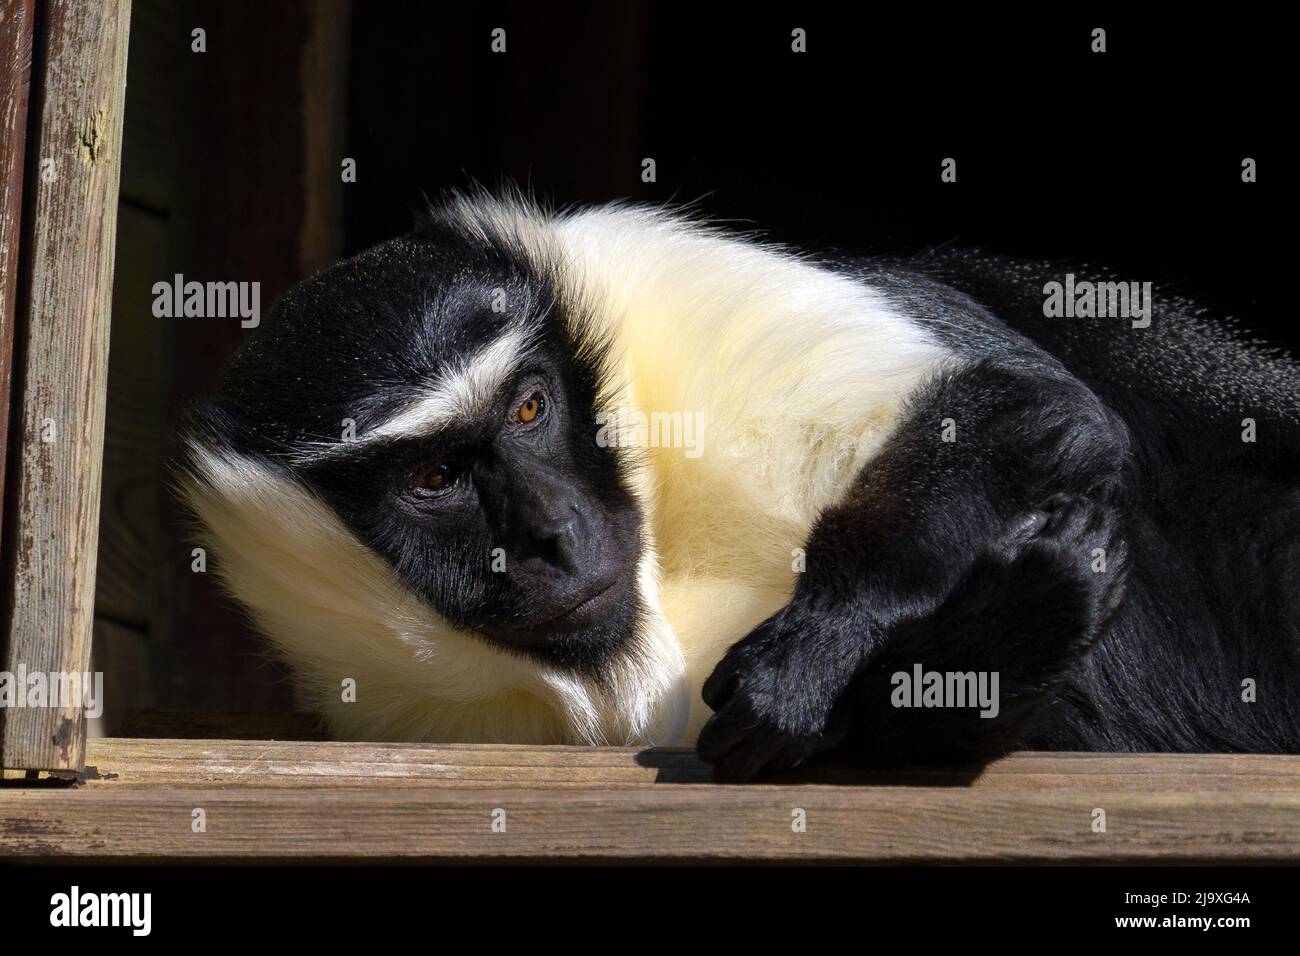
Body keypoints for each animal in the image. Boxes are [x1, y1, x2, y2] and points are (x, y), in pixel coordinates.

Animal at [179, 192, 1300, 781]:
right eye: (436, 475)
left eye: (532, 409)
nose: (550, 535)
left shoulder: (658, 281)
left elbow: (1026, 404)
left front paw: (826, 640)